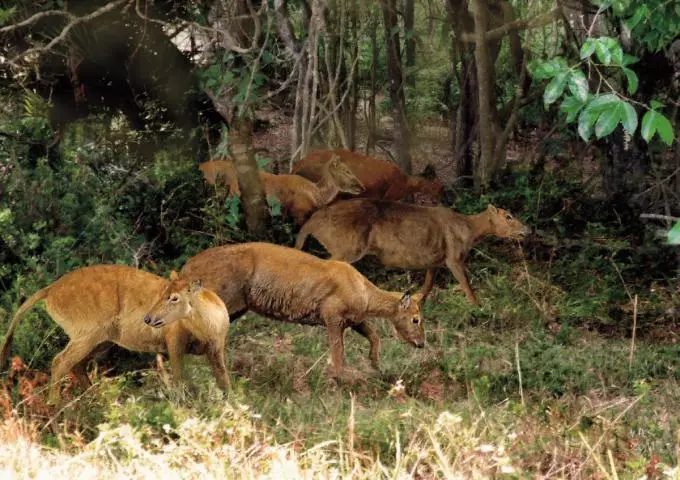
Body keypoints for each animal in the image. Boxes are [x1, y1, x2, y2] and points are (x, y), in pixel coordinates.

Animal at [0, 266, 231, 404]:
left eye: (174, 297)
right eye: (163, 293)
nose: (148, 318)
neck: (208, 326)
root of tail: (50, 289)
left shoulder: (216, 349)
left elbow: (224, 381)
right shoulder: (174, 345)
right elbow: (180, 380)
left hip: (101, 341)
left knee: (77, 366)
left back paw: (102, 402)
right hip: (87, 335)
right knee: (59, 362)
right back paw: (56, 410)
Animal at [178, 244, 428, 378]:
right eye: (416, 319)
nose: (422, 343)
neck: (365, 293)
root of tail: (187, 267)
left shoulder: (353, 318)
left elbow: (374, 336)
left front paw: (376, 364)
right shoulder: (332, 314)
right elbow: (338, 351)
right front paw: (339, 378)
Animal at [294, 200, 532, 306]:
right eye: (508, 216)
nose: (527, 229)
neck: (469, 228)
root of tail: (313, 220)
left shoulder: (434, 261)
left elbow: (427, 285)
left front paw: (417, 304)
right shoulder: (454, 257)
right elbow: (466, 284)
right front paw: (479, 307)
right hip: (348, 248)